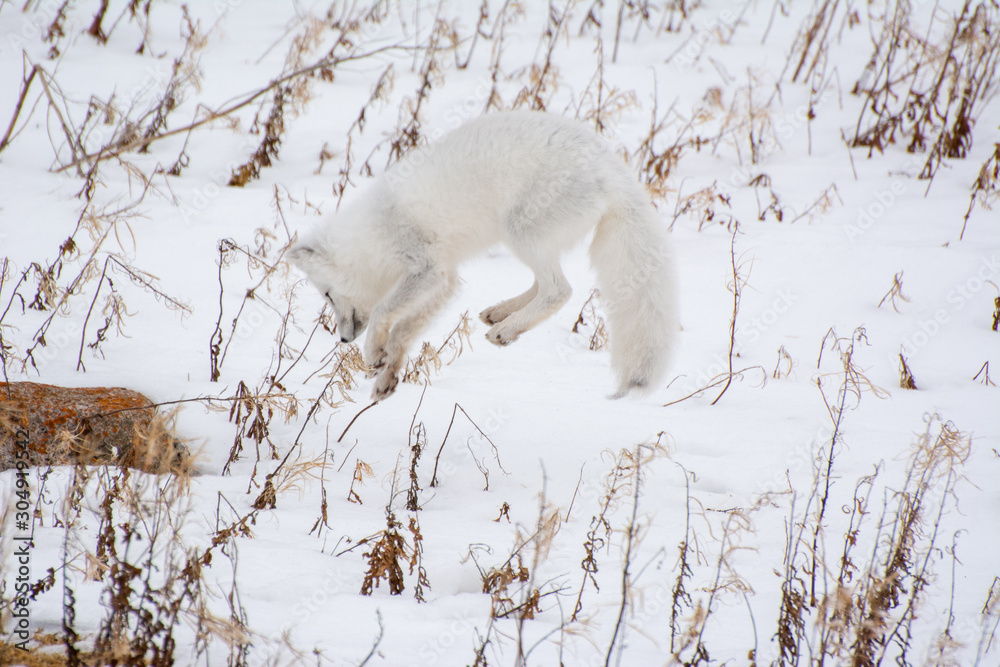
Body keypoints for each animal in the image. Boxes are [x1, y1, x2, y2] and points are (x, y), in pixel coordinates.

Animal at [289, 110, 678, 401]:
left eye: (327, 294)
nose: (343, 340)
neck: (374, 236)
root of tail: (615, 170)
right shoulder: (445, 280)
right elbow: (404, 331)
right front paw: (387, 376)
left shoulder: (425, 269)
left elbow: (386, 311)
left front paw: (373, 353)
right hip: (526, 238)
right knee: (542, 284)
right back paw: (501, 314)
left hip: (518, 229)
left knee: (559, 290)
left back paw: (507, 329)